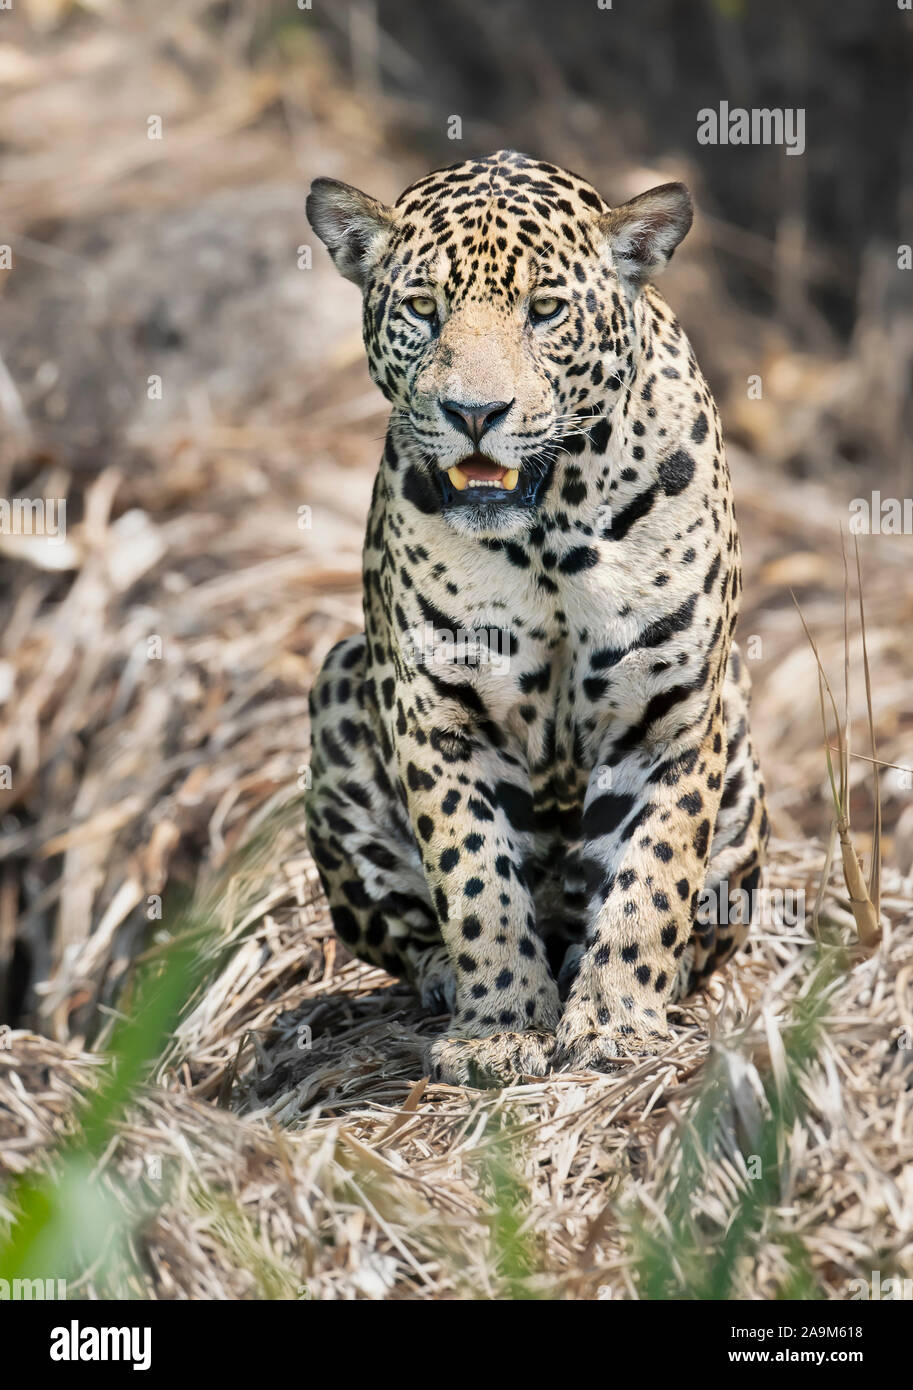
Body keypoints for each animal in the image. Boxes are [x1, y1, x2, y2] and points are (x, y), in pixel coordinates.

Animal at [304, 149, 768, 1088]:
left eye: (544, 310)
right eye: (423, 308)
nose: (474, 414)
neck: (548, 531)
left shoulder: (670, 715)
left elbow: (652, 874)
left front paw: (618, 1018)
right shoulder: (439, 712)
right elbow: (476, 879)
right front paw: (500, 1027)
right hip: (339, 682)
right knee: (402, 930)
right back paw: (452, 980)